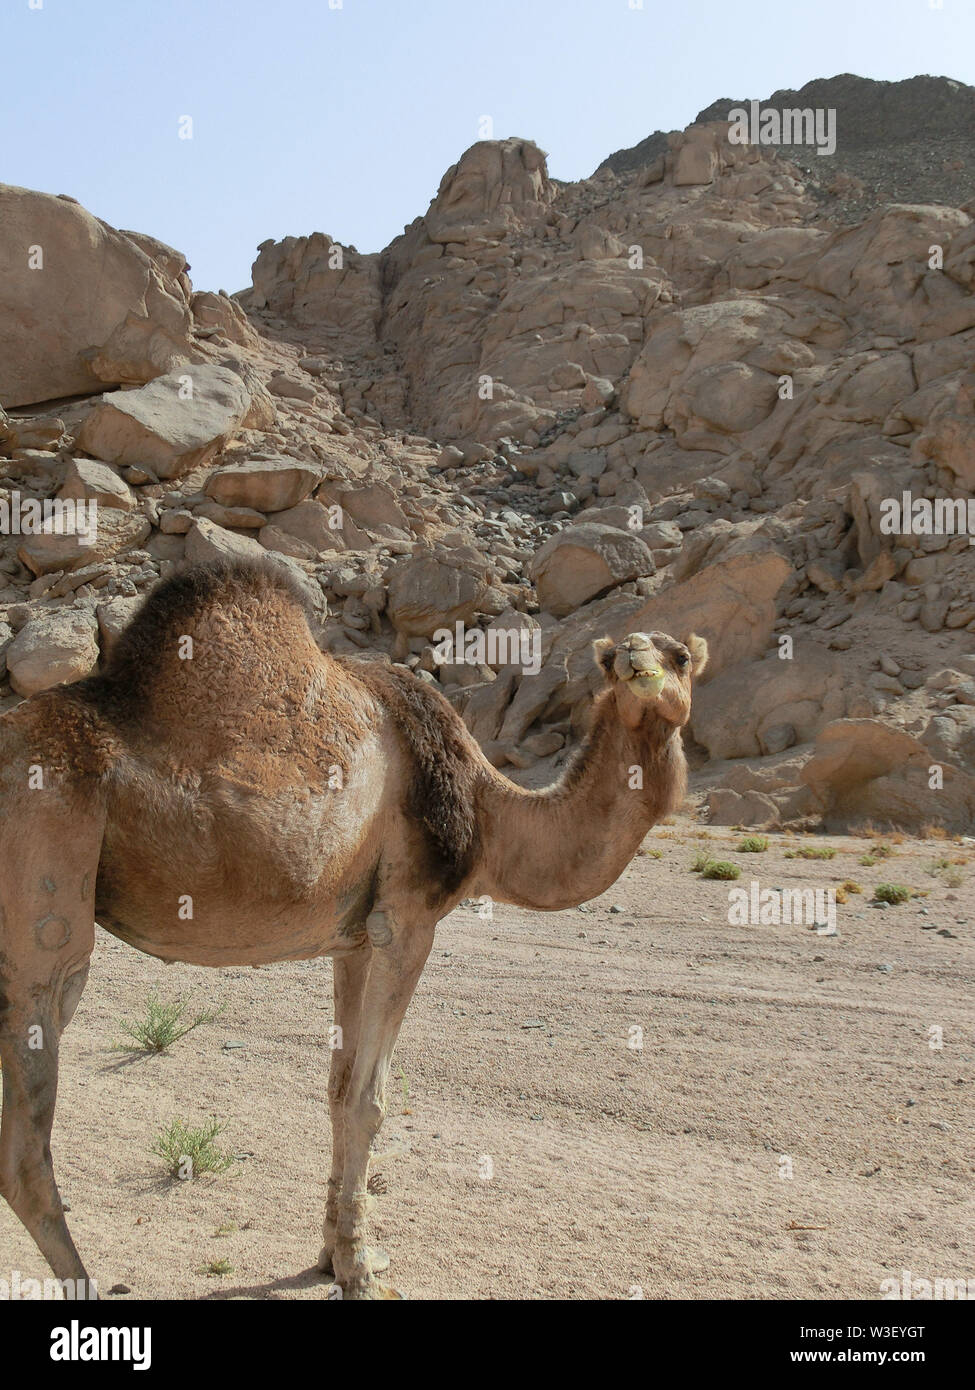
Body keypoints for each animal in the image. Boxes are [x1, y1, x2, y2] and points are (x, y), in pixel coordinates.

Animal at [0, 558, 707, 1299]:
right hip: (43, 888)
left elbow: (339, 1089)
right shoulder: (408, 920)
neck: (490, 813)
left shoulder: (355, 940)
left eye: (680, 657)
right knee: (25, 1143)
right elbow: (372, 1099)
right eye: (611, 660)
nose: (636, 660)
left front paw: (334, 1257)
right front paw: (365, 1271)